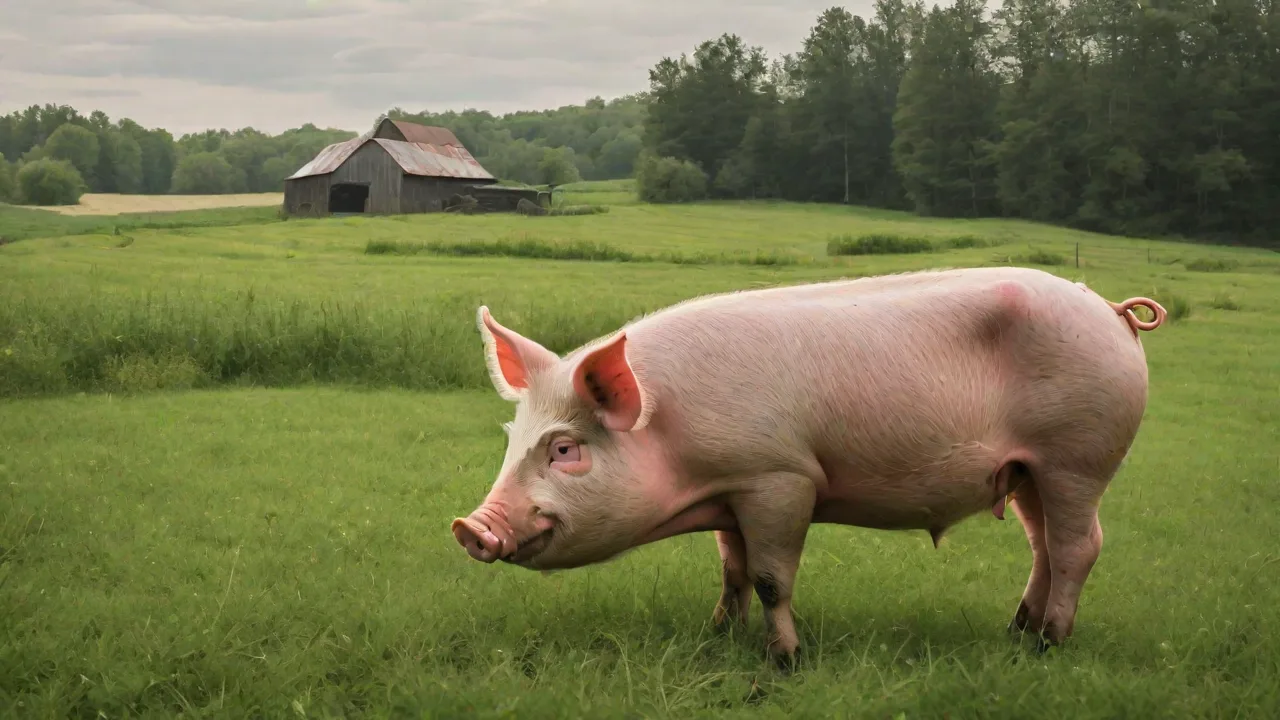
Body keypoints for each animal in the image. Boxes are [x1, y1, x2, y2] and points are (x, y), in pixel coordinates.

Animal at [451, 266, 1167, 670]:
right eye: (514, 436)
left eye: (565, 449)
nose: (469, 528)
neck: (675, 438)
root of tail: (1112, 312)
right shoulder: (731, 491)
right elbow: (732, 570)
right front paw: (719, 634)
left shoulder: (780, 477)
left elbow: (771, 578)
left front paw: (786, 661)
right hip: (1027, 471)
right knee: (1042, 544)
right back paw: (1017, 631)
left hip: (1079, 455)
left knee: (1079, 546)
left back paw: (1049, 646)